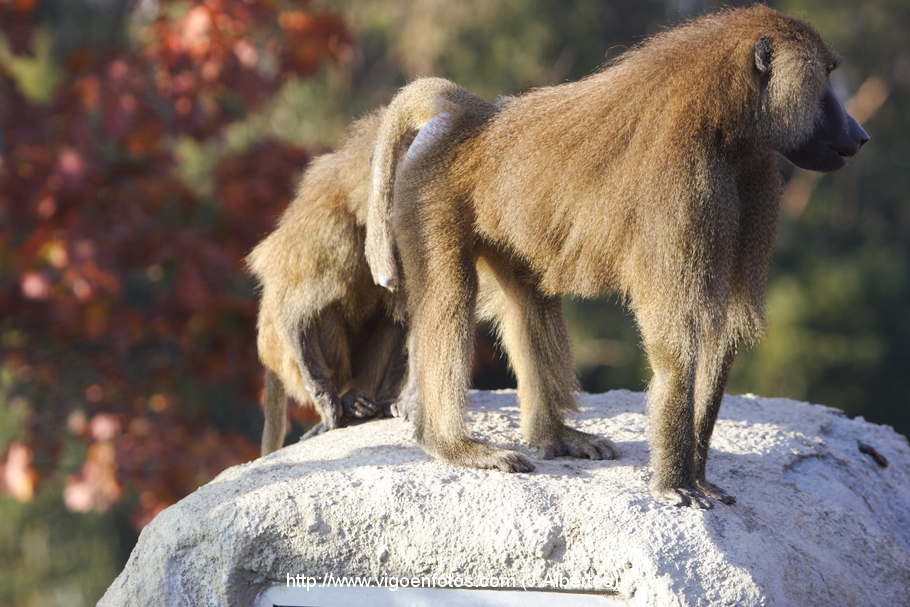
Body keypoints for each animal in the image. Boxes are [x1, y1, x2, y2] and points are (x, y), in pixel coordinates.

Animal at [248, 78, 497, 456]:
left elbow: (413, 314)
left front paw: (402, 402)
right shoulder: (328, 229)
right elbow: (293, 308)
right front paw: (327, 403)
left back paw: (368, 401)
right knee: (319, 311)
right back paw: (345, 403)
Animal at [366, 6, 868, 507]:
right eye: (826, 77)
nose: (860, 135)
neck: (725, 122)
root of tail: (475, 118)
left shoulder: (755, 179)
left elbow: (725, 329)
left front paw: (698, 475)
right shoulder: (685, 183)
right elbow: (676, 337)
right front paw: (674, 481)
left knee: (528, 299)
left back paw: (553, 436)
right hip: (429, 195)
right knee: (449, 300)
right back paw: (450, 444)